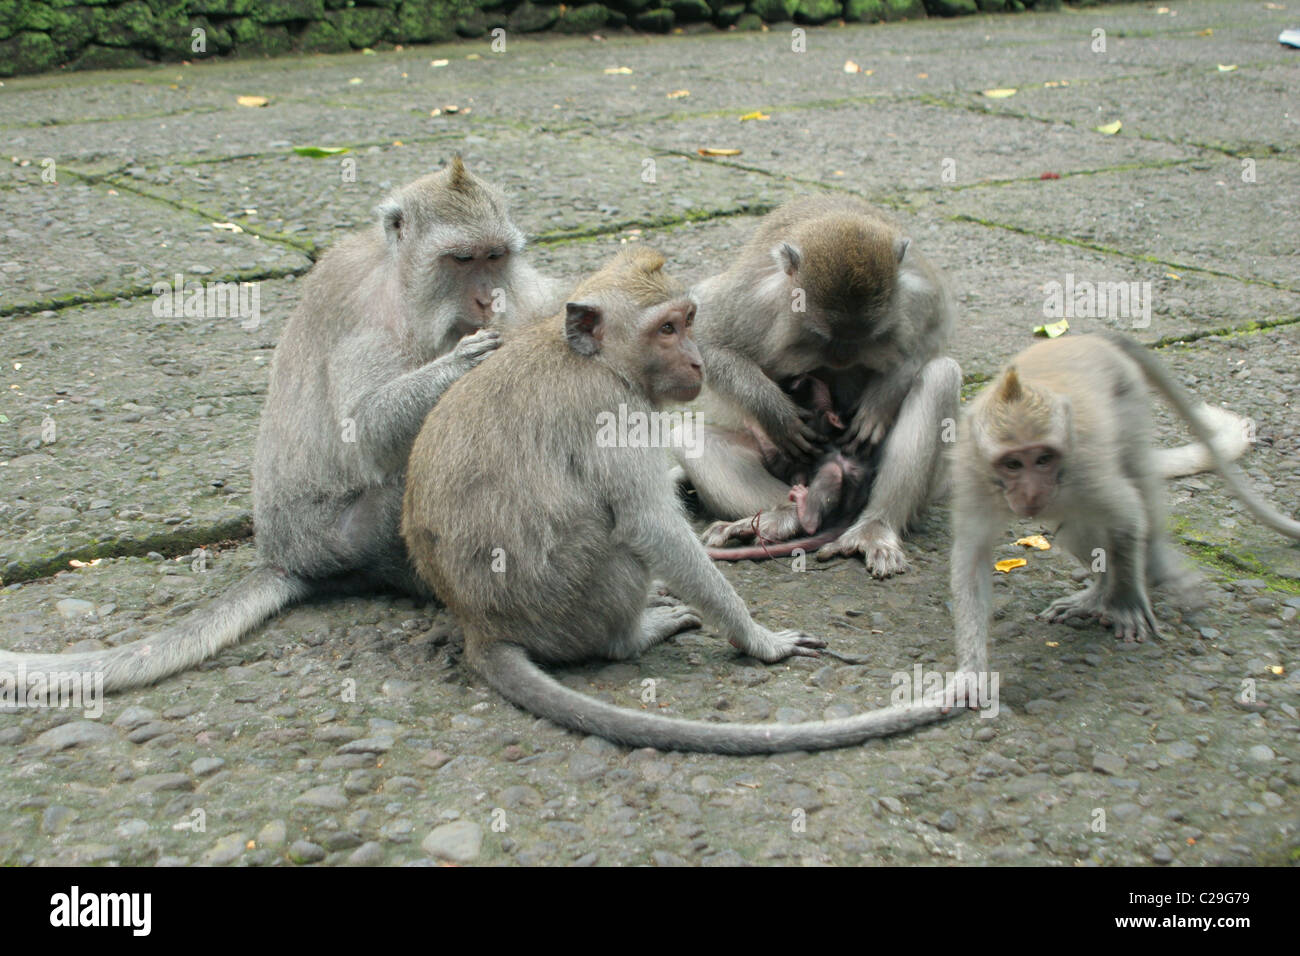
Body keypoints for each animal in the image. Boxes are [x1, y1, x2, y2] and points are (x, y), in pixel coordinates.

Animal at [0, 157, 567, 692]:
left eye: (496, 256)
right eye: (461, 259)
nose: (489, 299)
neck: (403, 282)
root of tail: (286, 557)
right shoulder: (368, 323)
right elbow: (367, 431)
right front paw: (465, 362)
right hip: (353, 536)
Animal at [401, 247, 958, 754]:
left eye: (689, 321)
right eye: (667, 329)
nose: (698, 360)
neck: (598, 361)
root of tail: (481, 626)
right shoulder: (615, 413)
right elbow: (650, 526)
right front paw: (756, 638)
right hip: (568, 605)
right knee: (619, 549)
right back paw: (632, 636)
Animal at [674, 195, 962, 578]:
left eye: (868, 337)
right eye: (821, 336)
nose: (841, 358)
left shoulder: (919, 290)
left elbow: (935, 332)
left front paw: (881, 401)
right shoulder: (755, 298)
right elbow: (705, 338)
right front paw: (775, 413)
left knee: (941, 376)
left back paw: (874, 526)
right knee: (685, 435)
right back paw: (787, 518)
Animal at [950, 332, 1300, 684]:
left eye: (1044, 459)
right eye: (1012, 464)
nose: (1032, 492)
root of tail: (1090, 337)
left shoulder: (1086, 469)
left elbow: (1126, 514)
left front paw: (1126, 600)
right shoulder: (971, 475)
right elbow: (972, 557)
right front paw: (970, 676)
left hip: (1128, 396)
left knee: (1134, 483)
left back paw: (1140, 572)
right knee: (1079, 523)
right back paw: (1096, 594)